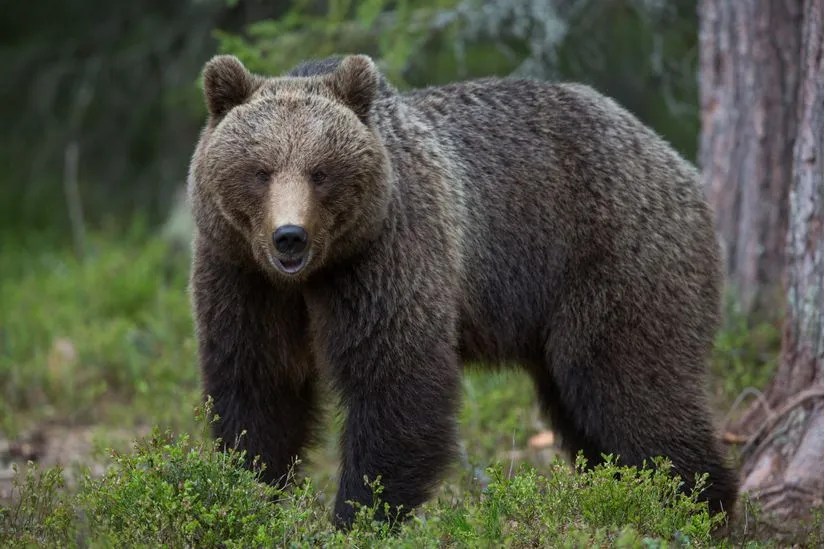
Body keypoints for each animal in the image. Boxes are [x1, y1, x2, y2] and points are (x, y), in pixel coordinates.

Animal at [188, 53, 738, 528]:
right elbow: (258, 389)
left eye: (321, 172)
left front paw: (358, 515)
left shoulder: (387, 256)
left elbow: (398, 385)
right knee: (583, 408)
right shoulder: (242, 276)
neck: (311, 277)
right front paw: (251, 491)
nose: (290, 236)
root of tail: (675, 161)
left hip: (614, 260)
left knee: (631, 386)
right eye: (260, 171)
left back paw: (697, 506)